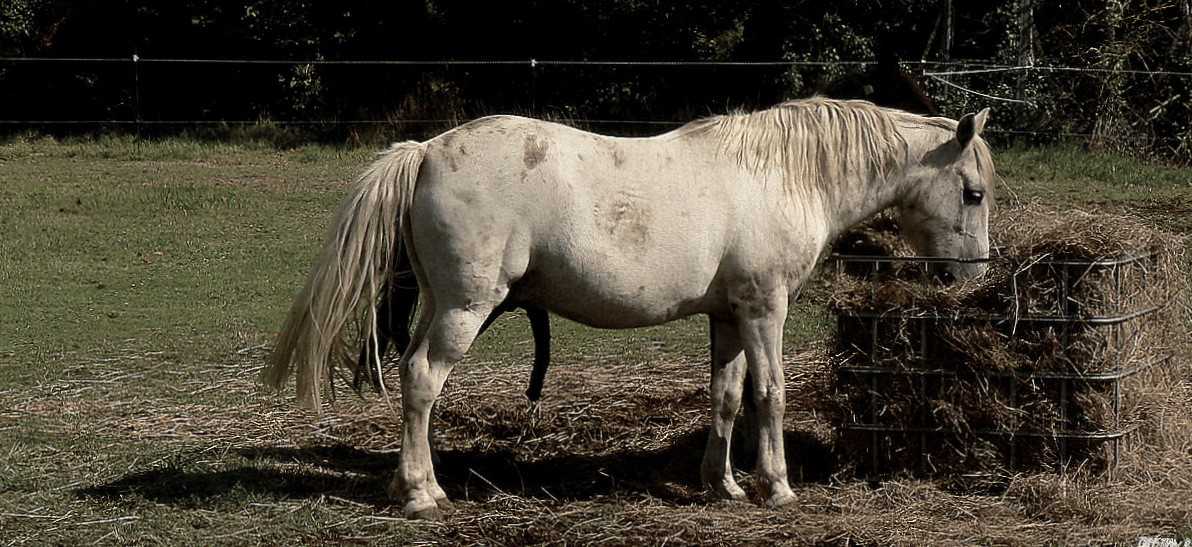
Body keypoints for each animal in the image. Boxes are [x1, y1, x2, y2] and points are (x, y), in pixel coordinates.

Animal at [263, 97, 996, 517]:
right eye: (974, 192)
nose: (968, 277)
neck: (783, 174)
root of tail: (425, 151)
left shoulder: (729, 316)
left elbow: (727, 396)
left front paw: (723, 485)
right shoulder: (765, 309)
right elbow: (772, 395)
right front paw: (777, 486)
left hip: (442, 305)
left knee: (414, 375)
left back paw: (416, 484)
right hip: (465, 309)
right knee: (420, 380)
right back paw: (421, 494)